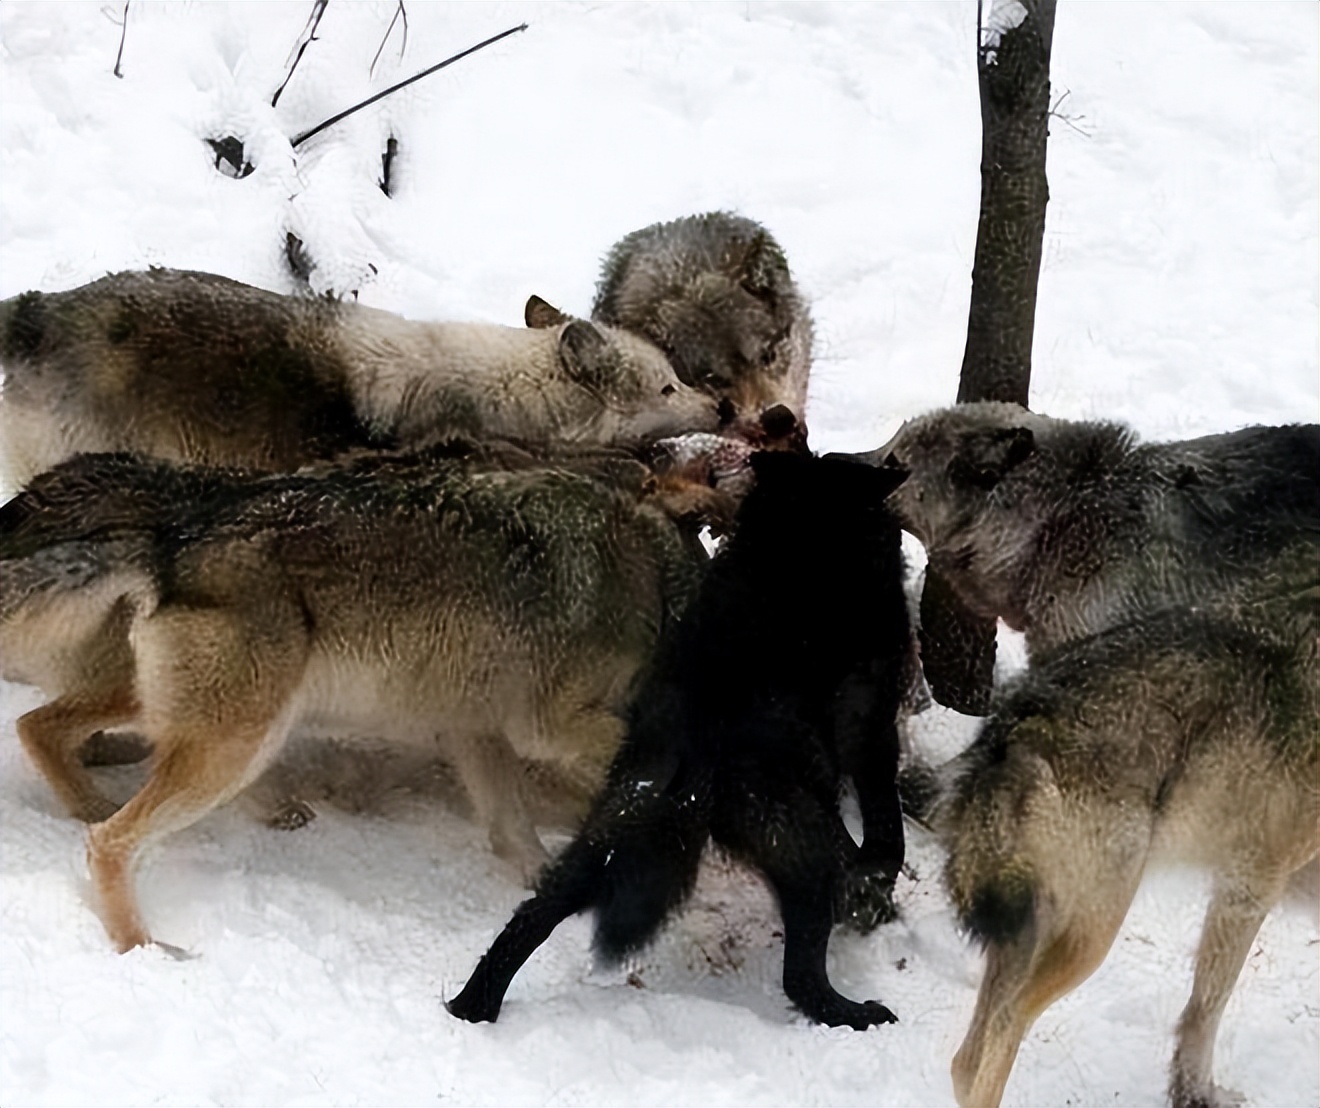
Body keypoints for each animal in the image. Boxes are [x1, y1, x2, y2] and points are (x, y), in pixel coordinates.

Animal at [0, 443, 711, 952]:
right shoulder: (553, 727)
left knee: (43, 729)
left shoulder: (474, 732)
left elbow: (513, 832)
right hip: (235, 745)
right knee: (106, 838)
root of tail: (174, 539)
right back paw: (146, 948)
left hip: (201, 722)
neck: (659, 590)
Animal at [447, 450, 913, 1030]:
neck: (796, 539)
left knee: (534, 911)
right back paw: (853, 1013)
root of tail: (692, 749)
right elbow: (885, 817)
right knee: (800, 972)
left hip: (609, 829)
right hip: (799, 843)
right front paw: (877, 875)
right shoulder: (869, 722)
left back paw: (471, 1008)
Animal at [938, 595, 1318, 1107]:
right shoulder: (1249, 885)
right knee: (1005, 1026)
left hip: (1029, 926)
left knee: (965, 1063)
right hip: (1090, 938)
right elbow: (1206, 1007)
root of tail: (1014, 724)